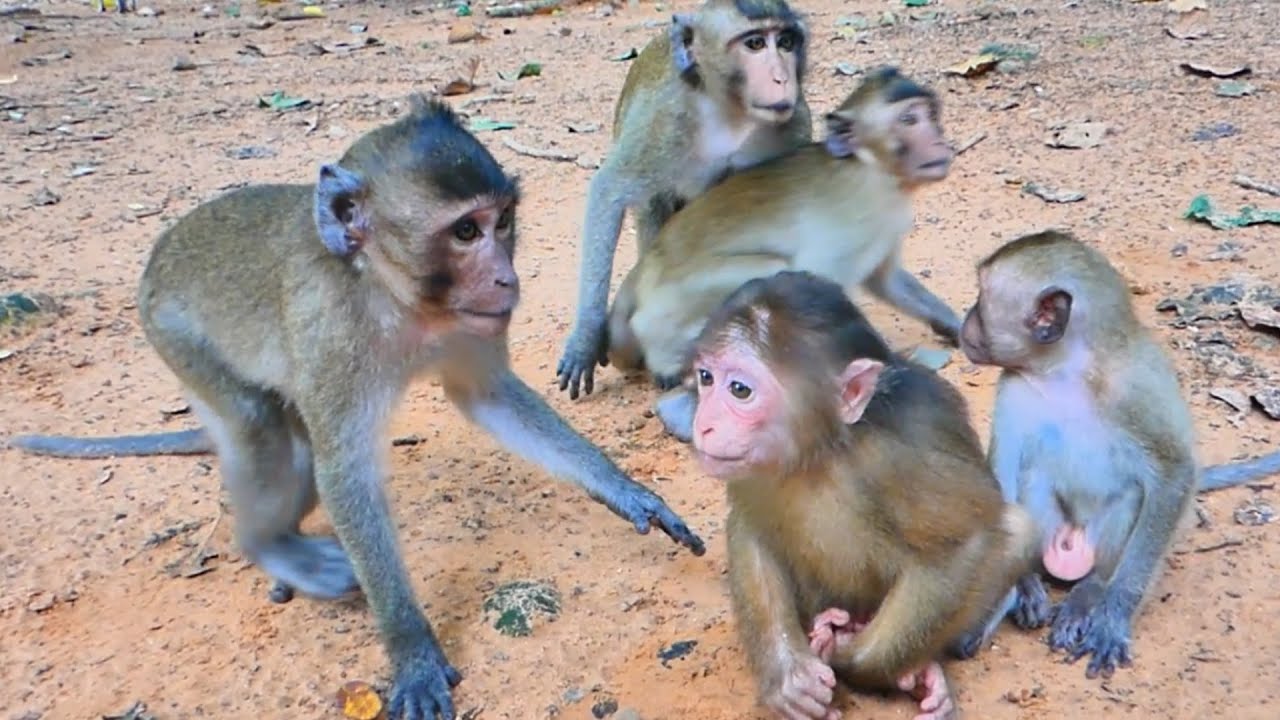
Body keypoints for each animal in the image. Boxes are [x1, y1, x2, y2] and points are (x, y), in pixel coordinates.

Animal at [5, 96, 705, 720]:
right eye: (465, 231)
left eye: (503, 220)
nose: (507, 278)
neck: (396, 298)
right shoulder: (333, 335)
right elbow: (346, 472)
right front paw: (411, 648)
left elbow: (486, 398)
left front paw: (624, 490)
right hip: (173, 334)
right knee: (265, 431)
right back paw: (268, 545)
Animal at [555, 0, 813, 400]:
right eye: (755, 44)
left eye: (785, 42)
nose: (781, 78)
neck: (729, 115)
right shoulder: (662, 124)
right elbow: (609, 192)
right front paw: (586, 336)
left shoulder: (794, 124)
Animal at [605, 66, 960, 442]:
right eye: (909, 119)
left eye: (931, 115)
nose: (940, 142)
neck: (872, 168)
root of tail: (645, 266)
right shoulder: (853, 219)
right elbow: (816, 289)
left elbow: (886, 281)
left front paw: (956, 326)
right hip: (670, 310)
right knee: (769, 272)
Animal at [689, 270, 1039, 720]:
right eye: (706, 379)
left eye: (739, 389)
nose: (704, 424)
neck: (826, 451)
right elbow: (751, 528)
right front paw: (789, 678)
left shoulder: (900, 453)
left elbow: (960, 547)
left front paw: (848, 653)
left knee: (1015, 528)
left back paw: (921, 673)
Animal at [956, 229, 1280, 678]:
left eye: (983, 297)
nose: (965, 321)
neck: (1065, 373)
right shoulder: (1013, 389)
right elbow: (1001, 475)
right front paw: (1018, 588)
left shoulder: (1135, 391)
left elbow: (1175, 474)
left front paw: (1114, 614)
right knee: (1033, 479)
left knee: (1130, 499)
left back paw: (1090, 590)